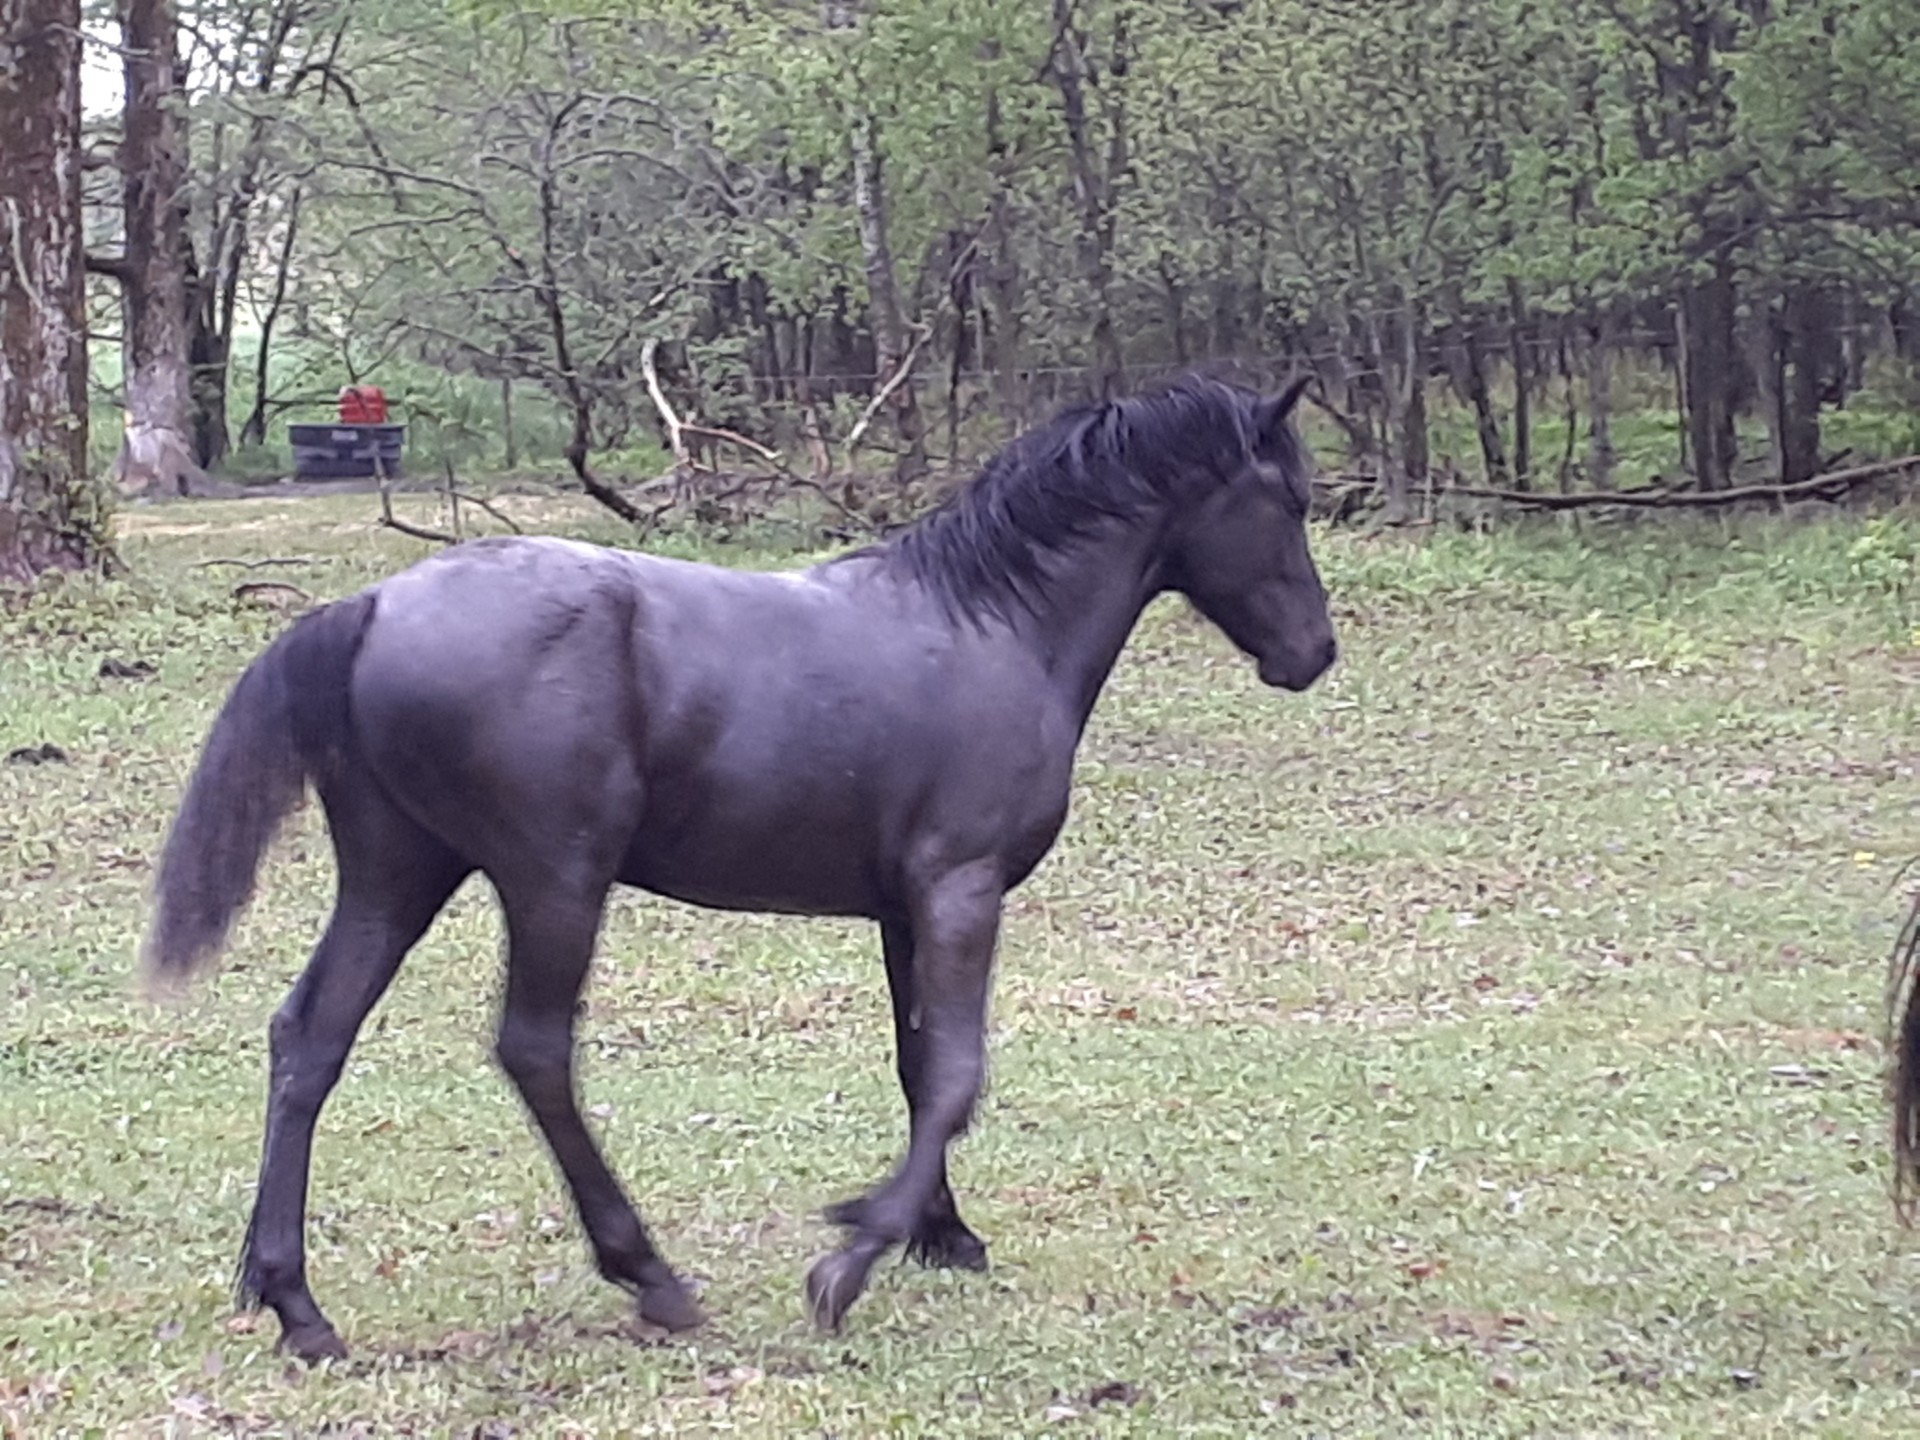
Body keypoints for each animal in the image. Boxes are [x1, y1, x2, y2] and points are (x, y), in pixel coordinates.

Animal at [141, 372, 1338, 1361]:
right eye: (1288, 500)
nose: (1314, 653)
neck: (991, 625)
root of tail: (374, 605)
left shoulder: (904, 910)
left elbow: (919, 1068)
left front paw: (941, 1235)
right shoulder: (960, 890)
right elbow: (959, 1074)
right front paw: (851, 1259)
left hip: (397, 877)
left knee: (311, 1039)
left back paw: (295, 1304)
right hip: (553, 883)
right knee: (534, 1052)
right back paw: (649, 1275)